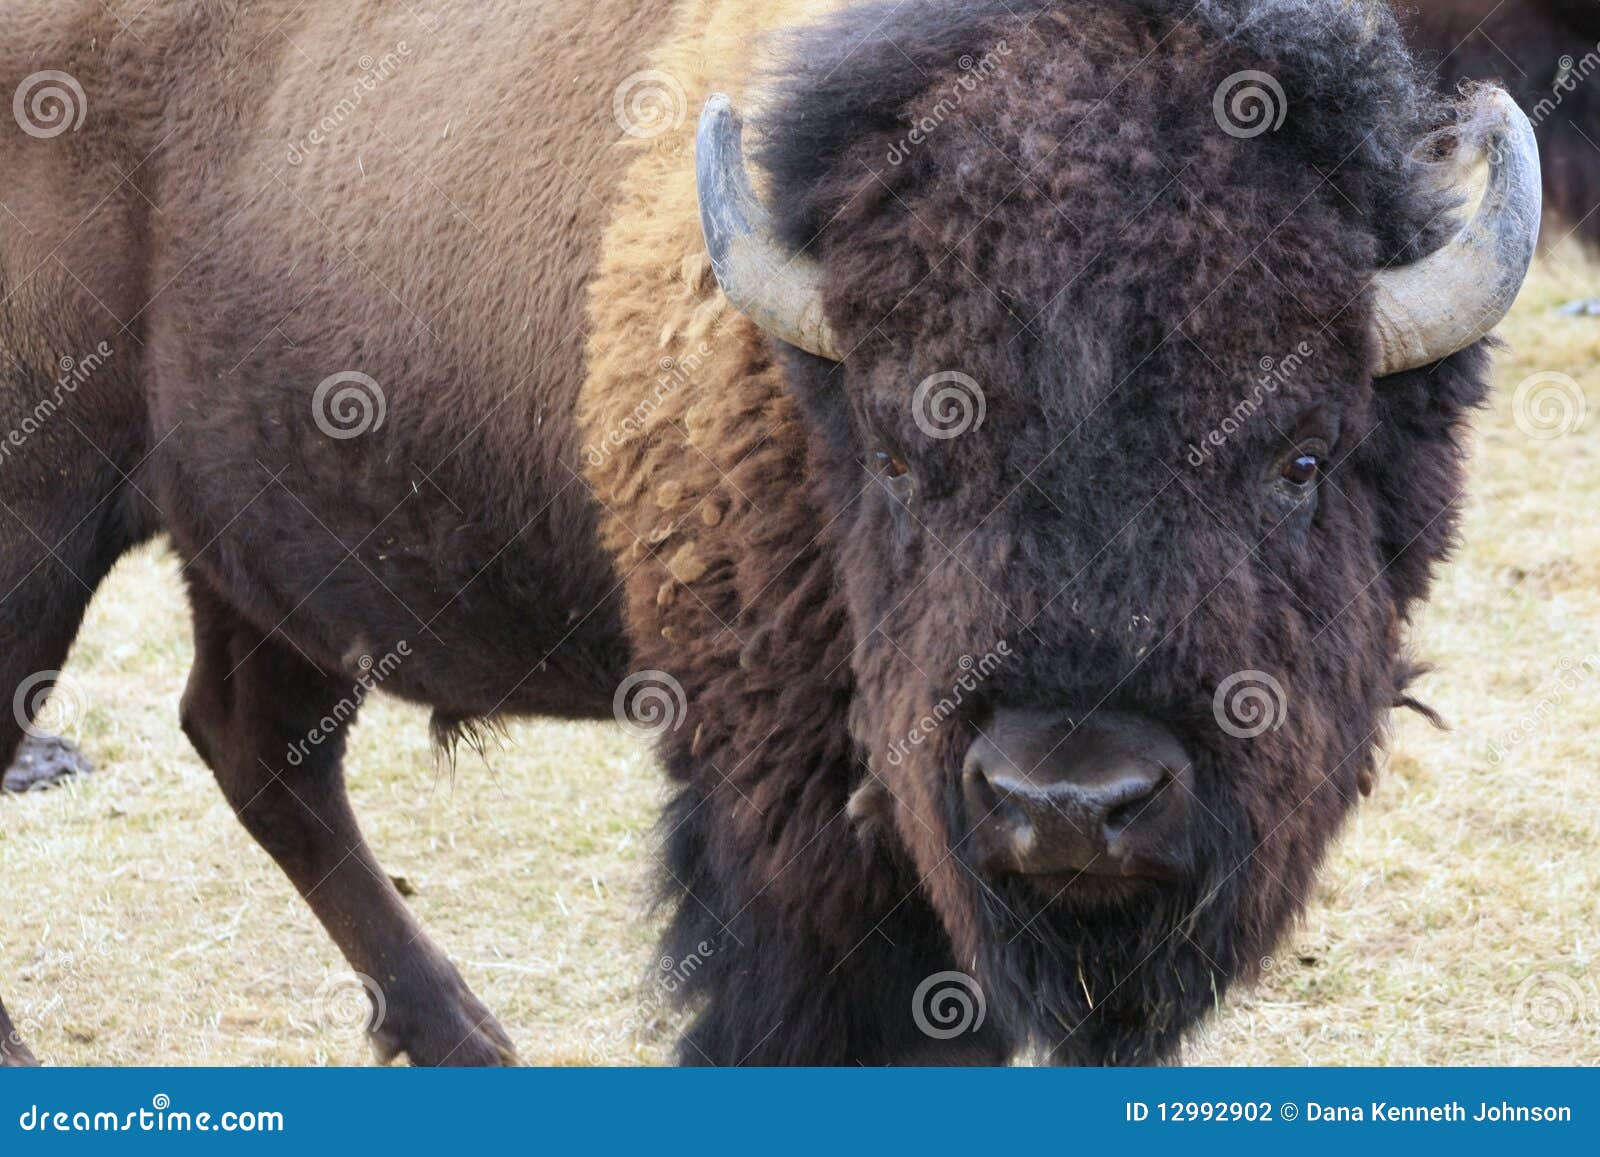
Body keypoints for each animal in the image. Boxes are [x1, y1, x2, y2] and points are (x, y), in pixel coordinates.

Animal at [1, 0, 1537, 1066]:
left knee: (258, 748)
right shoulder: (792, 814)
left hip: (251, 556)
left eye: (1301, 456)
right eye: (909, 455)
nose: (1069, 800)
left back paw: (468, 1041)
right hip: (45, 531)